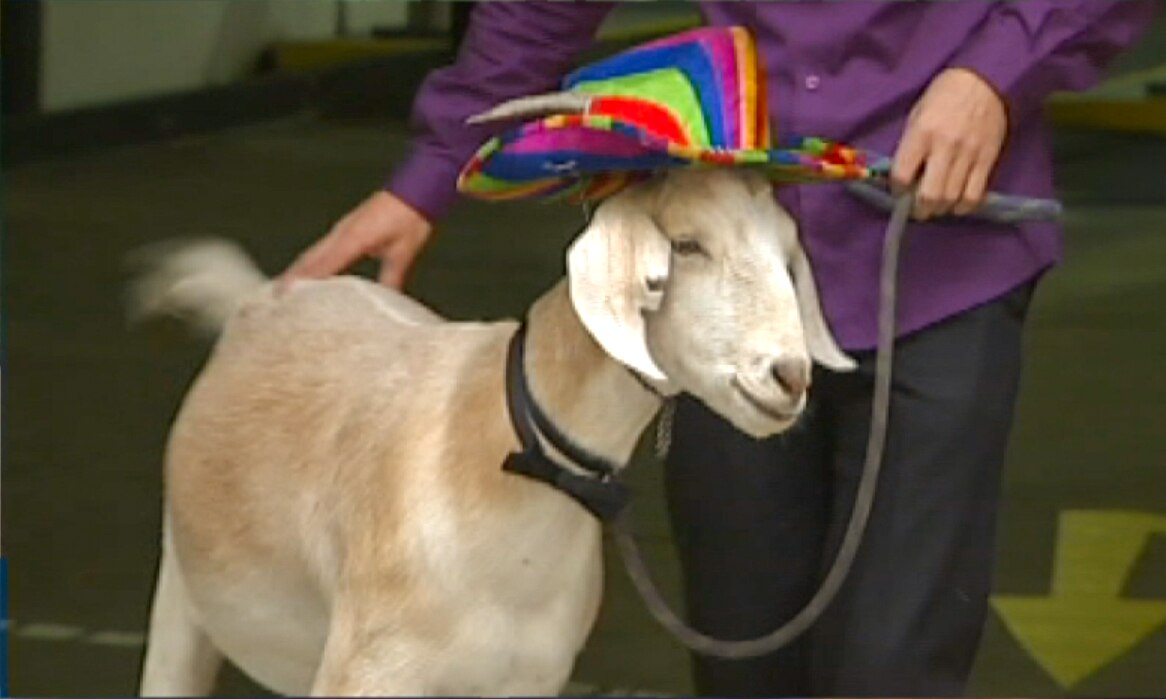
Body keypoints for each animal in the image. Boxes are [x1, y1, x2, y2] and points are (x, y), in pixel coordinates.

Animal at [133, 169, 855, 696]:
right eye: (686, 245)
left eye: (787, 259)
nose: (789, 375)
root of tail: (262, 296)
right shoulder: (368, 670)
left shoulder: (527, 680)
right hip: (181, 595)